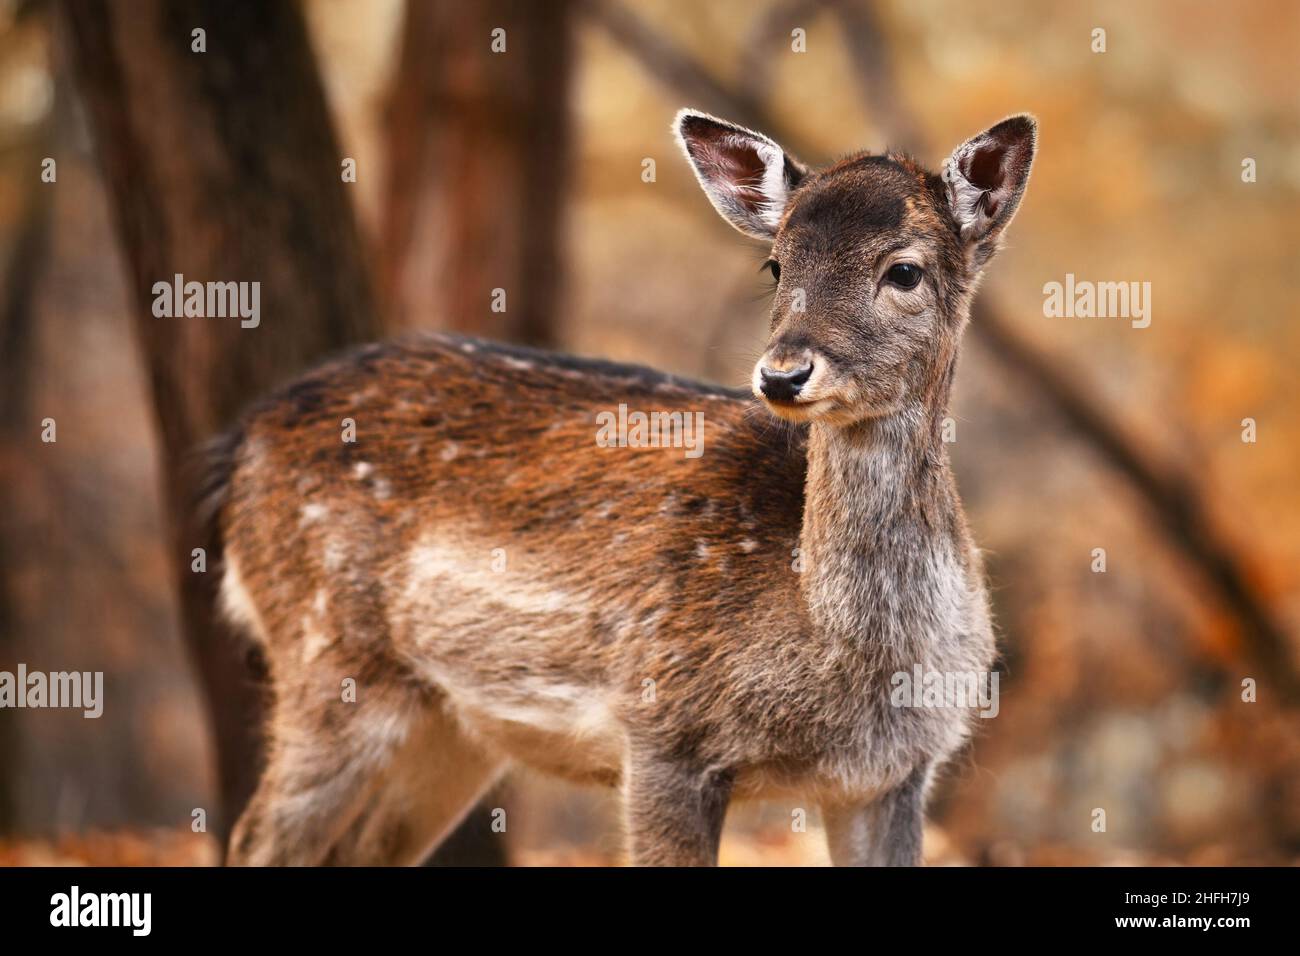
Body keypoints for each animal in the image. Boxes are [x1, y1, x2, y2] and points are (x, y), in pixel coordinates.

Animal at [214, 108, 1036, 866]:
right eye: (775, 264)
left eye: (904, 270)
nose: (783, 374)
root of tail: (243, 442)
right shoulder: (662, 729)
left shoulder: (895, 773)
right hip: (329, 657)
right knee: (255, 836)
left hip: (447, 725)